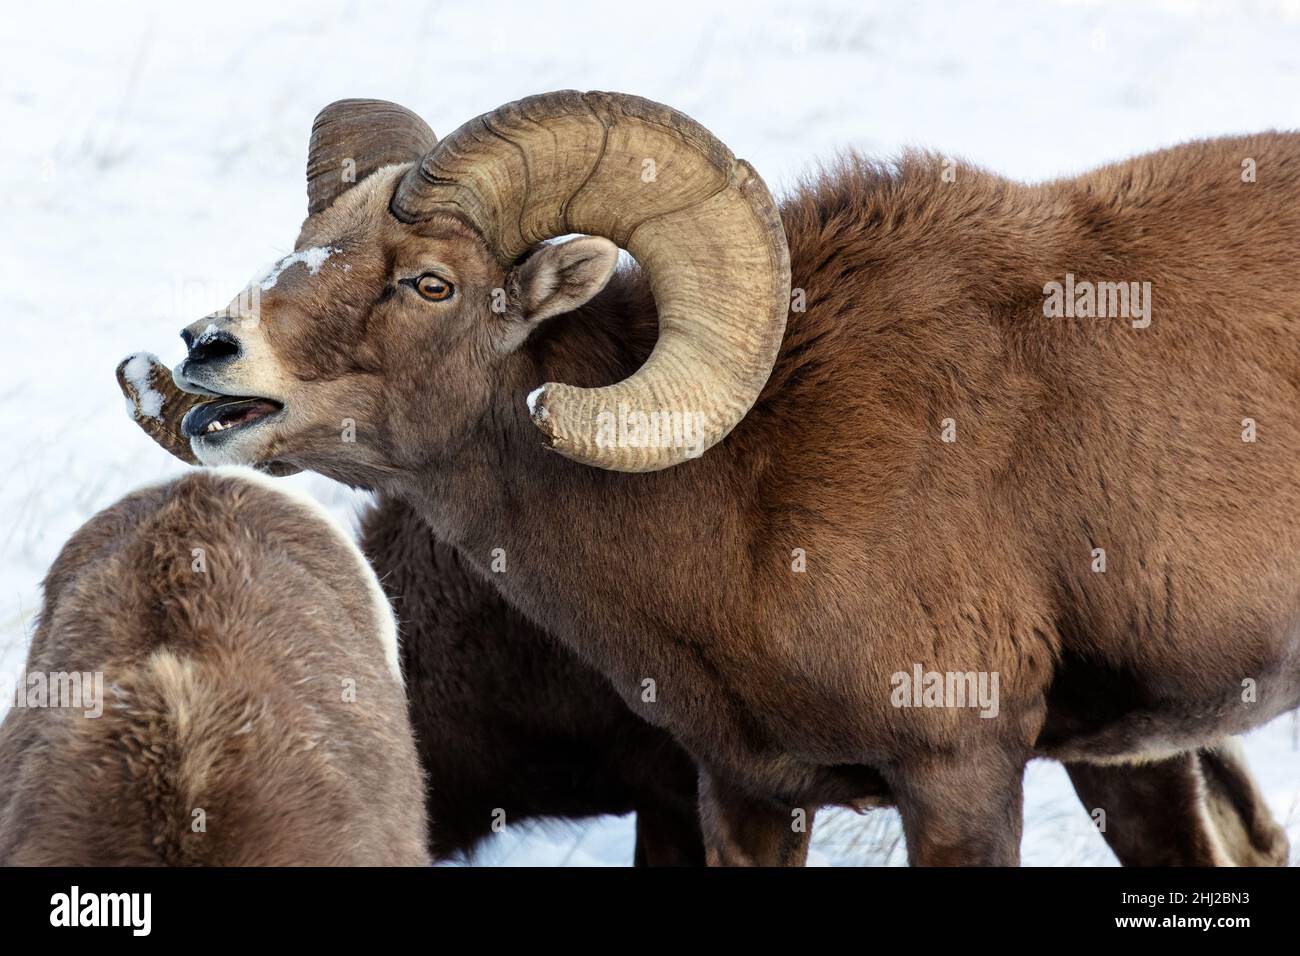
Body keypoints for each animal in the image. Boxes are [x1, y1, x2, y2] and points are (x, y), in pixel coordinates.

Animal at [118, 92, 1297, 865]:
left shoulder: (959, 774)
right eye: (306, 239)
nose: (209, 350)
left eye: (430, 283)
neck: (744, 505)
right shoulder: (744, 791)